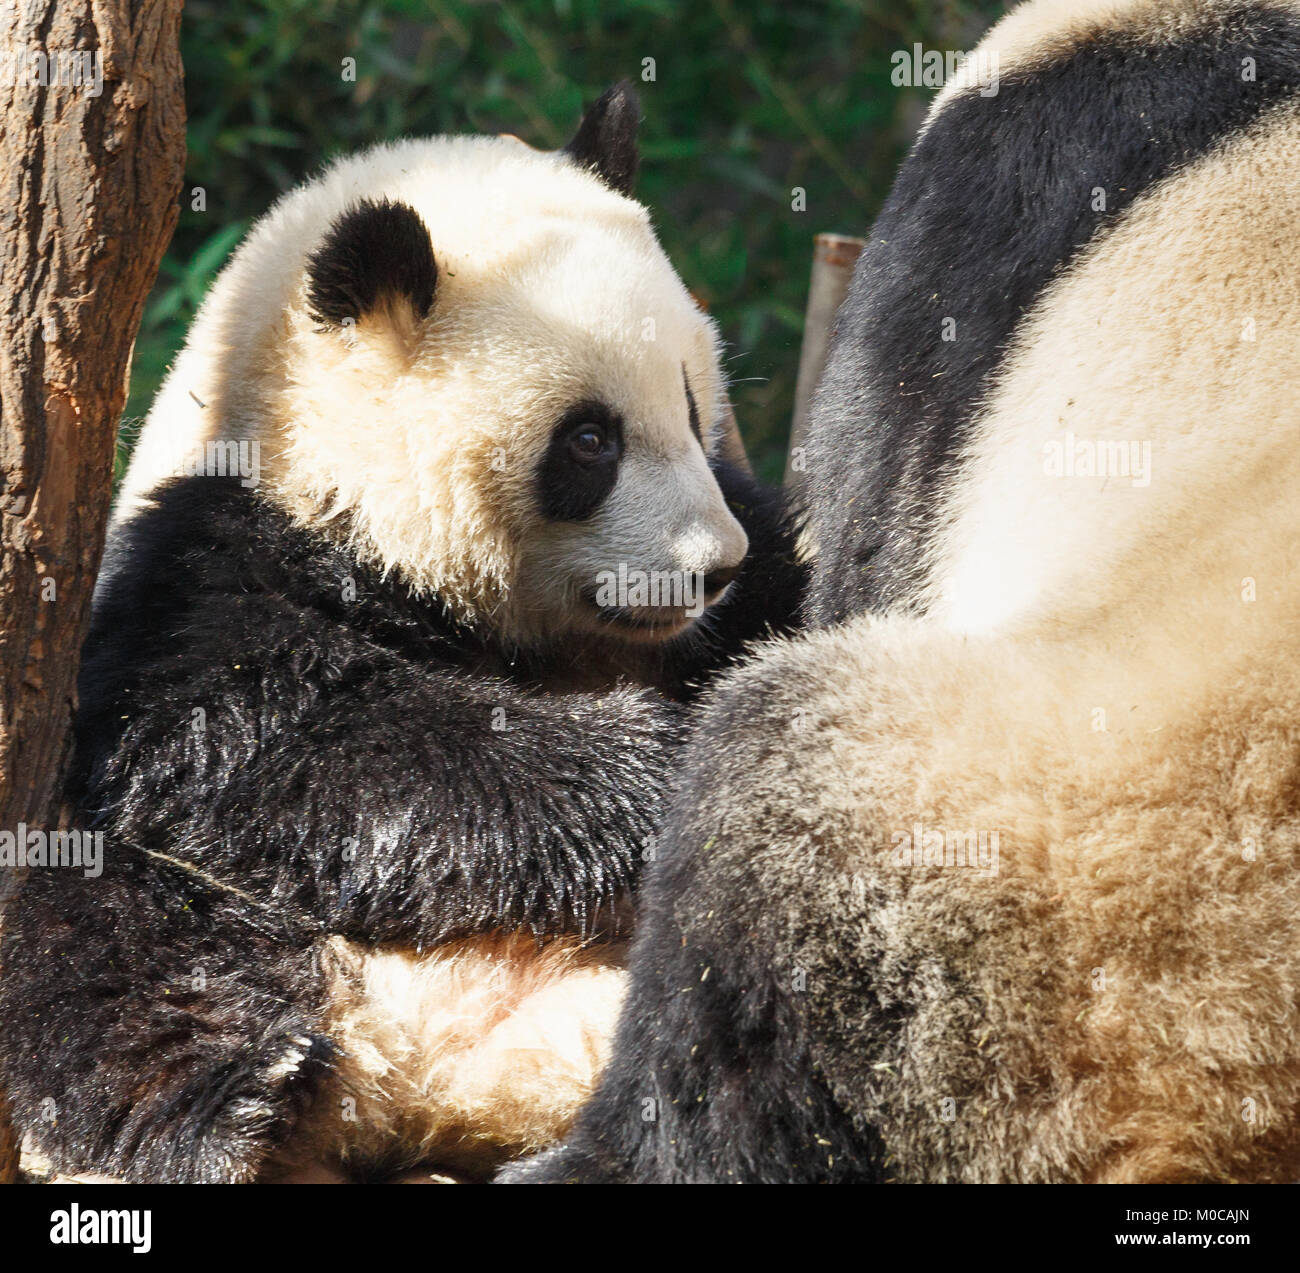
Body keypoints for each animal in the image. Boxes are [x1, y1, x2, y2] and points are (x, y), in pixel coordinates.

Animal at [0, 83, 804, 1184]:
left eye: (692, 403)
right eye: (588, 439)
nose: (708, 566)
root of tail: (428, 1073)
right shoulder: (207, 548)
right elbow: (246, 734)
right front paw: (646, 761)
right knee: (81, 925)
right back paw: (235, 1097)